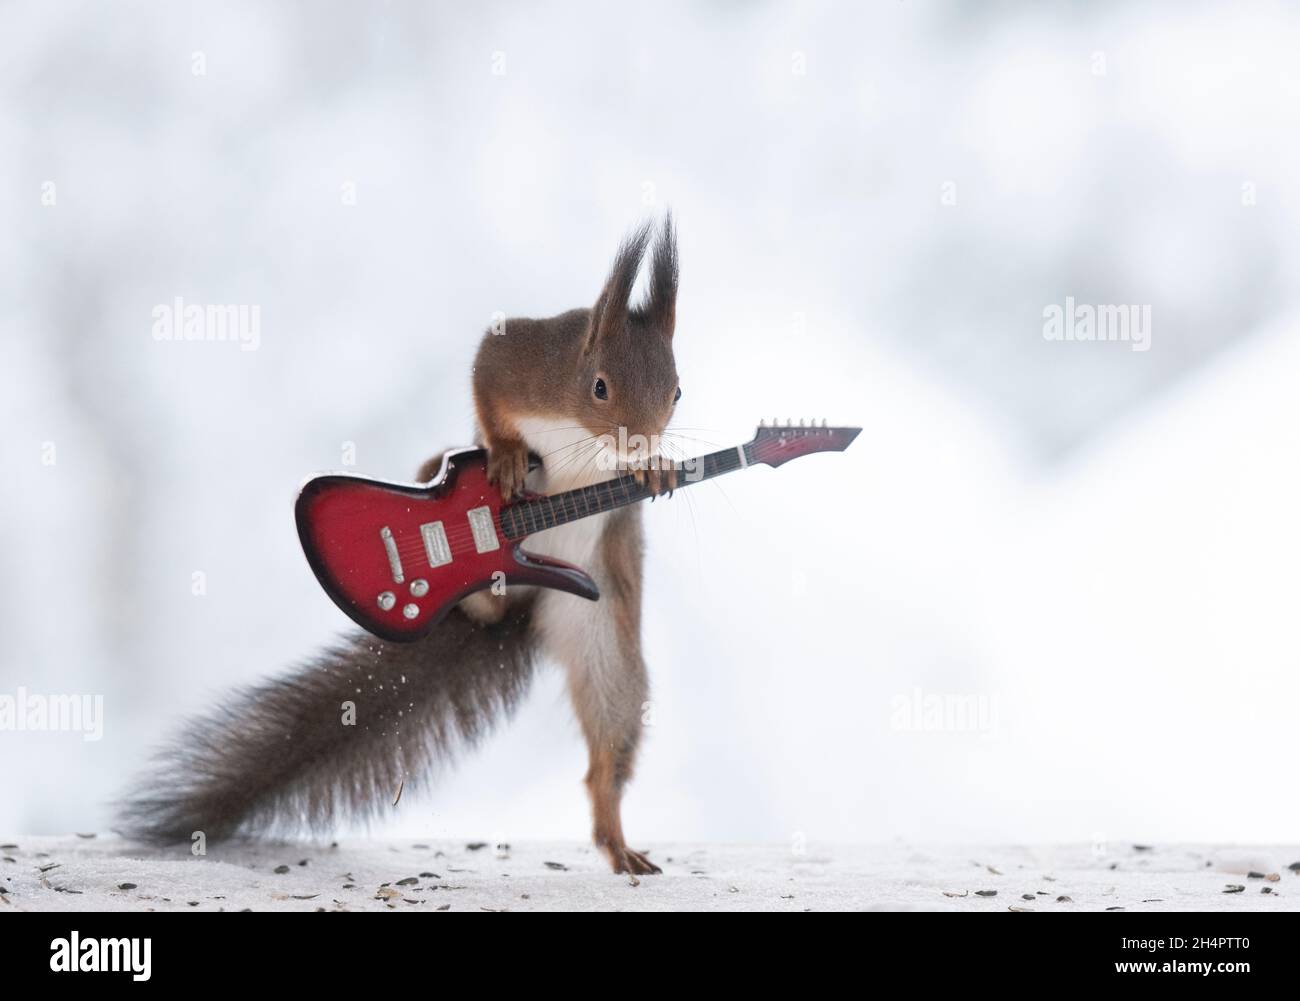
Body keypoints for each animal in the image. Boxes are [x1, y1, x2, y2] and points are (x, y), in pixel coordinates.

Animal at [118, 216, 681, 875]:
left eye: (677, 393)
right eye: (599, 387)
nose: (640, 444)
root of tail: (521, 602)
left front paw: (658, 469)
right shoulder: (525, 361)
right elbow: (487, 374)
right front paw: (507, 456)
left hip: (604, 636)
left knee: (607, 749)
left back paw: (616, 840)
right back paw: (478, 584)